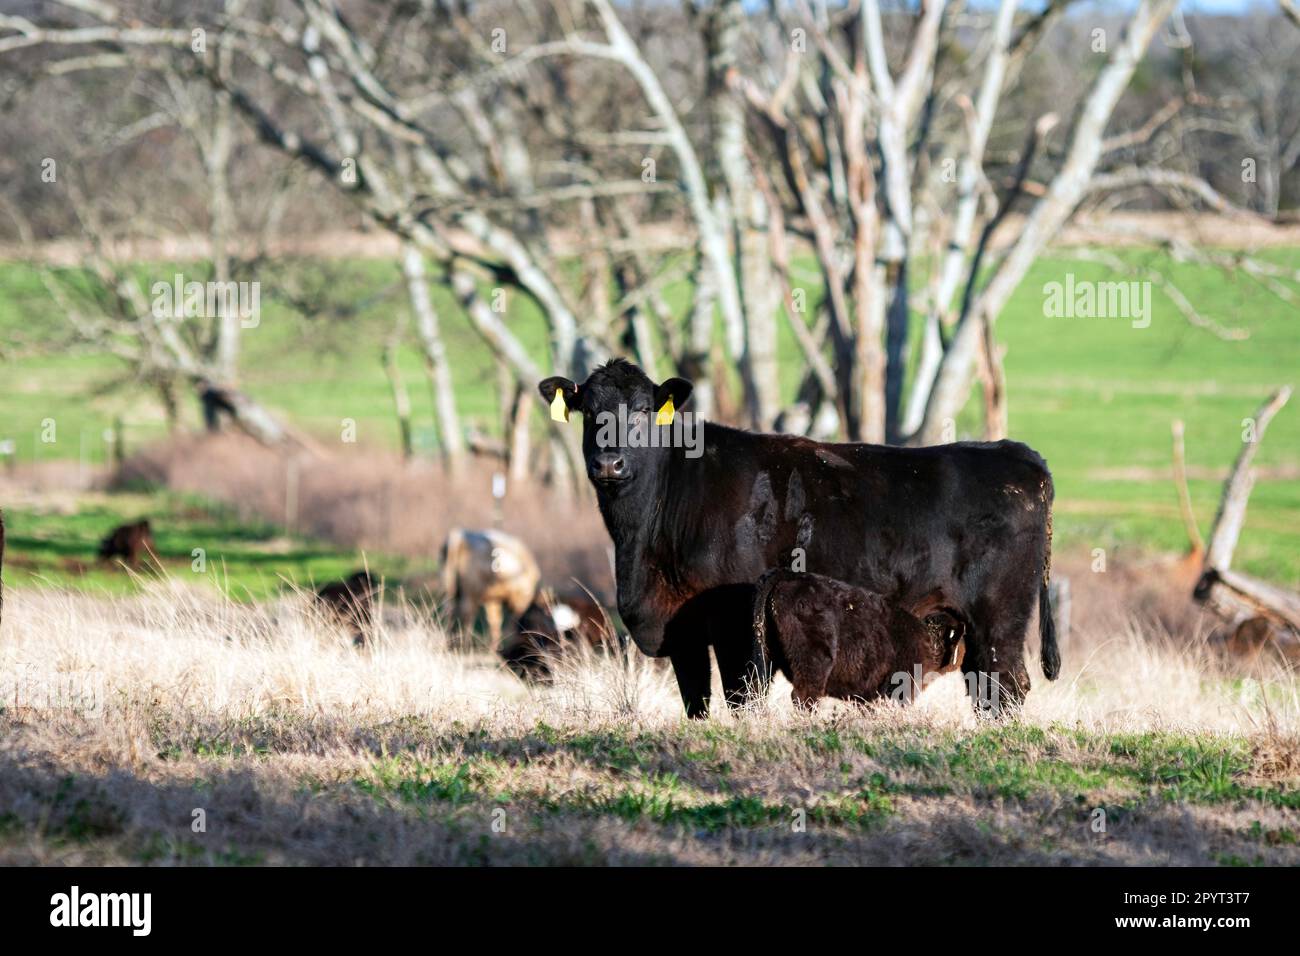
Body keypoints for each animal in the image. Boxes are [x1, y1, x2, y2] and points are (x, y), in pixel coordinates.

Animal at [539, 358, 1059, 718]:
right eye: (589, 412)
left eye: (644, 412)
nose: (610, 463)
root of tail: (1018, 456)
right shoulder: (682, 631)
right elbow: (696, 704)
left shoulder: (735, 623)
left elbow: (742, 698)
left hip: (999, 618)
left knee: (1005, 686)